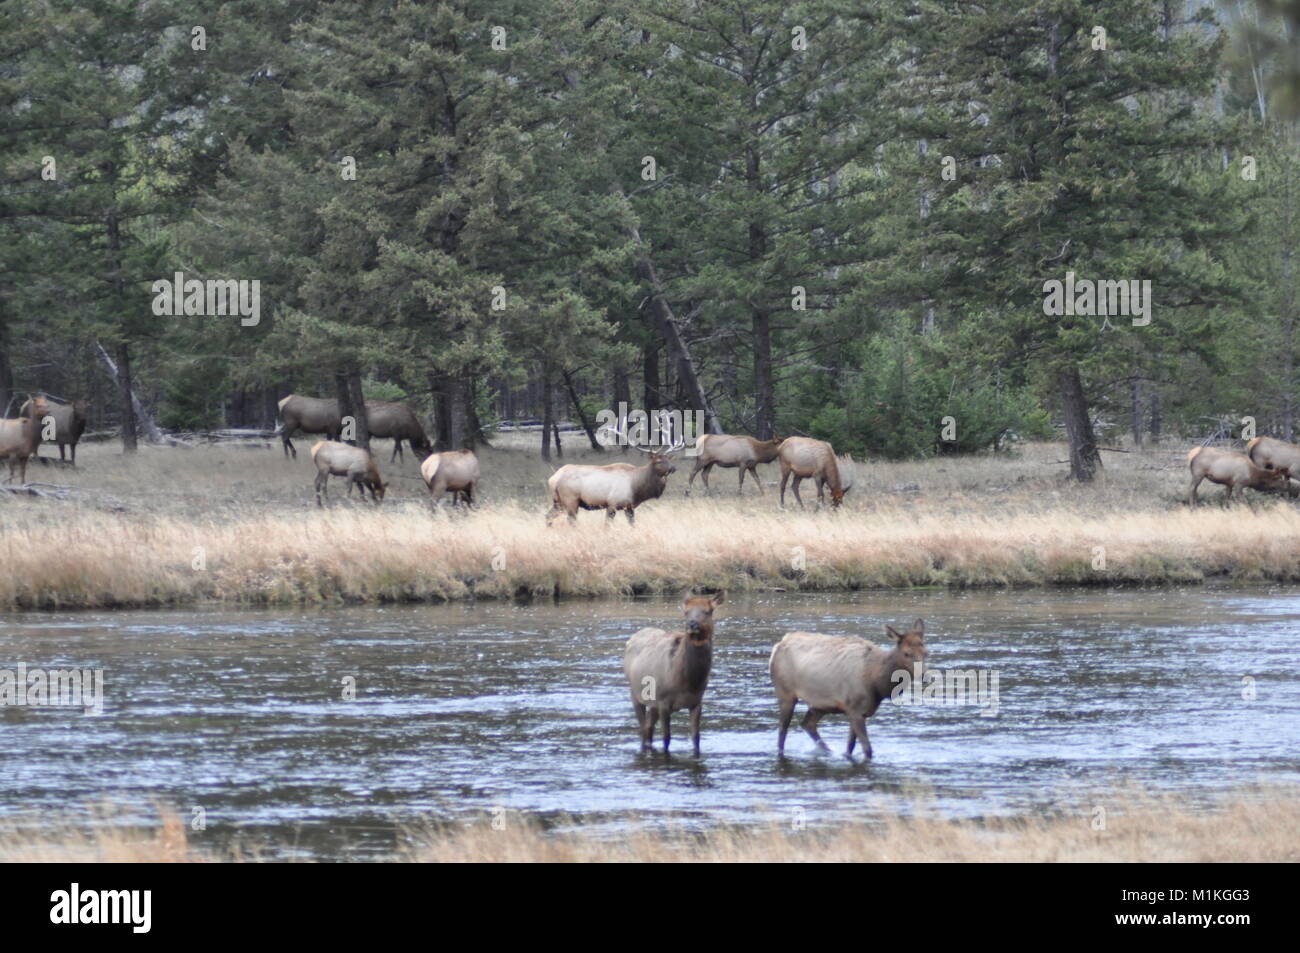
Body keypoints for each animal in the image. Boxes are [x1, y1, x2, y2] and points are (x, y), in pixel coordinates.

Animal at [545, 423, 684, 526]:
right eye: (658, 461)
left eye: (669, 459)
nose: (674, 468)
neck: (637, 488)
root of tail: (553, 479)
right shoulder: (612, 503)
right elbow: (607, 525)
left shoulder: (629, 506)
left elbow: (633, 524)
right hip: (571, 500)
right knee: (571, 520)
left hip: (558, 501)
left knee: (548, 516)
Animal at [623, 591, 725, 756]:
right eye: (686, 612)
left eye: (708, 611)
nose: (692, 624)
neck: (688, 681)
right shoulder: (663, 702)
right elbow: (666, 737)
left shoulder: (696, 702)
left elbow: (696, 737)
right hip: (636, 694)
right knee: (643, 728)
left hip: (653, 703)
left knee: (648, 727)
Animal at [769, 619, 928, 760]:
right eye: (906, 653)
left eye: (926, 652)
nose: (924, 676)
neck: (877, 685)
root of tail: (777, 646)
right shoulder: (854, 709)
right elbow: (867, 749)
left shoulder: (859, 711)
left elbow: (850, 747)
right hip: (786, 694)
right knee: (782, 731)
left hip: (821, 703)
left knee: (807, 724)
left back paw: (828, 751)